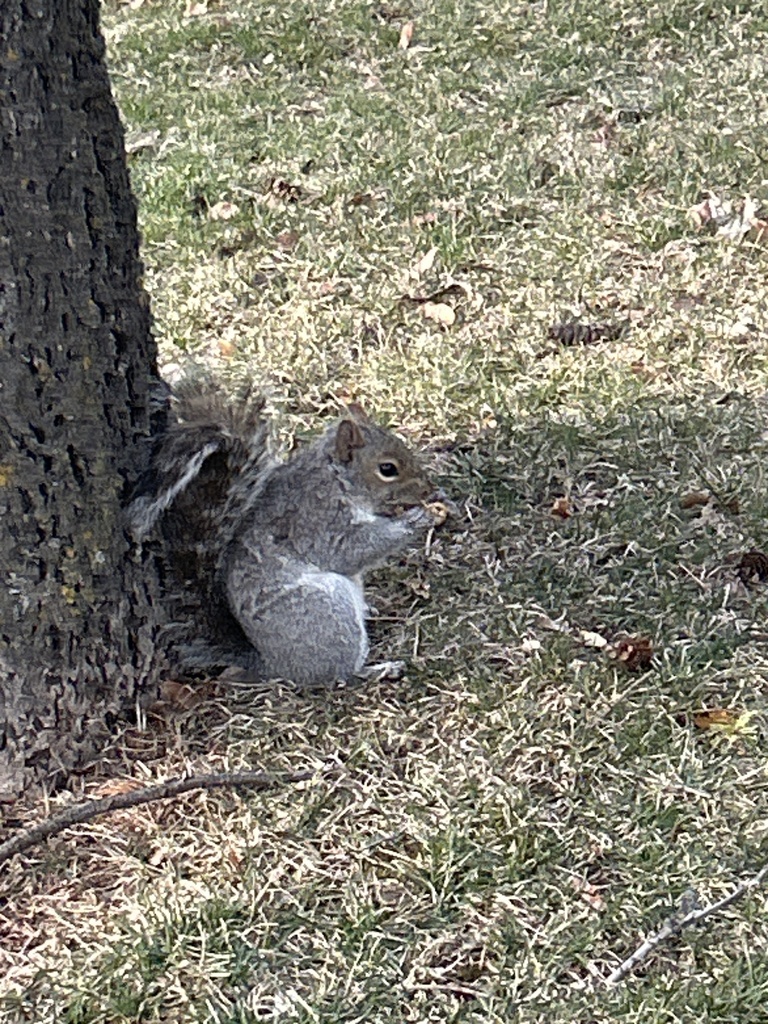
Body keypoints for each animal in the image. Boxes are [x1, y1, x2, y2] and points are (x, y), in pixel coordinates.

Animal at [128, 381, 447, 686]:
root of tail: (269, 663)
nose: (428, 490)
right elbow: (350, 551)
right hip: (324, 615)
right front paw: (416, 519)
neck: (338, 479)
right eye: (387, 468)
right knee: (335, 677)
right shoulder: (317, 521)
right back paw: (375, 670)